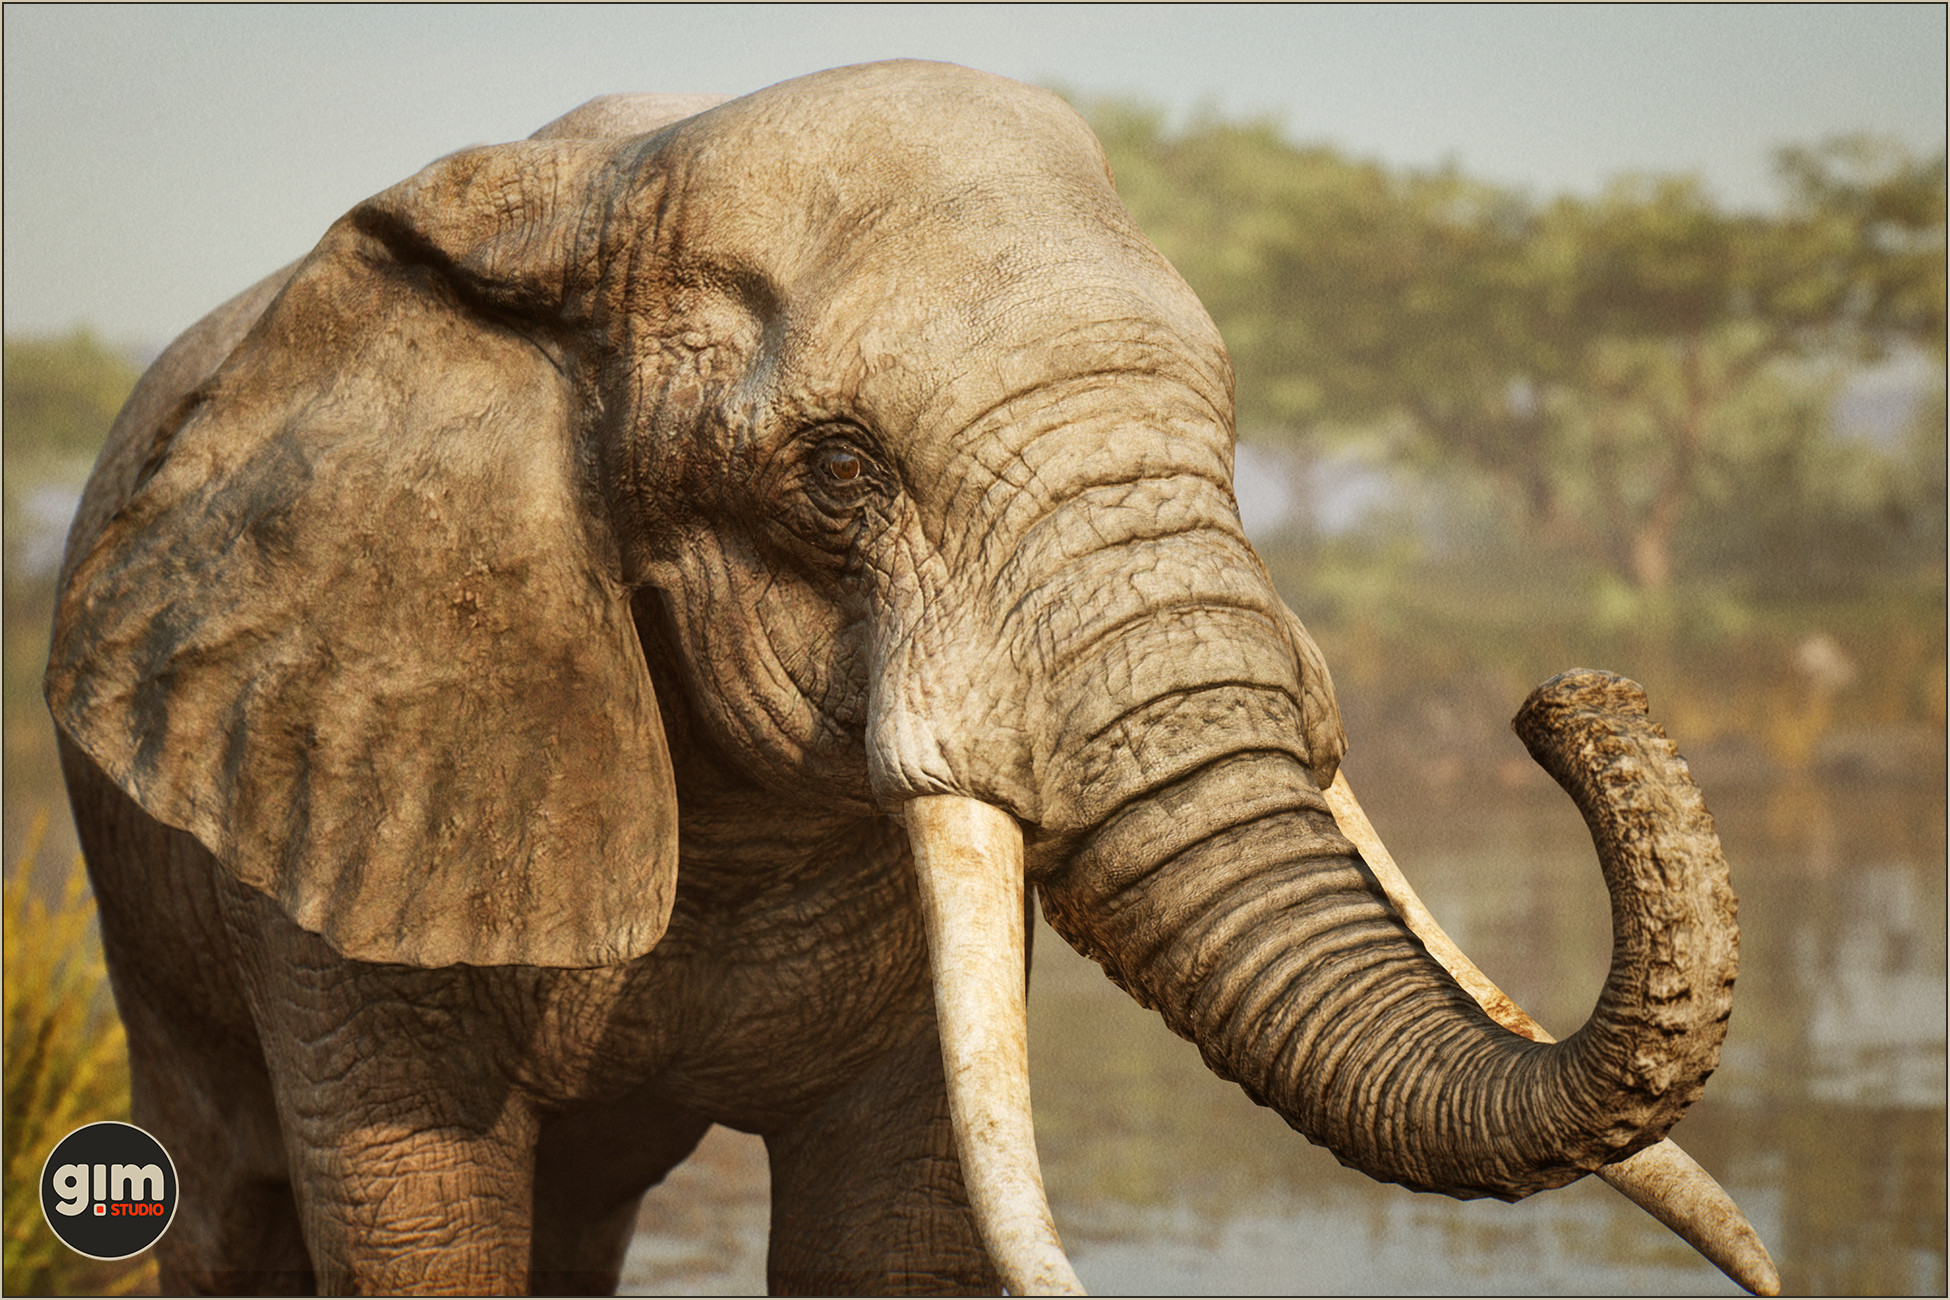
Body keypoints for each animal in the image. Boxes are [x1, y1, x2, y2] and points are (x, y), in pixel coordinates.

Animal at [44, 60, 1776, 1295]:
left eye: (1227, 422)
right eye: (837, 469)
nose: (1562, 701)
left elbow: (882, 1223)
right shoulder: (362, 767)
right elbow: (421, 1218)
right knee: (228, 1190)